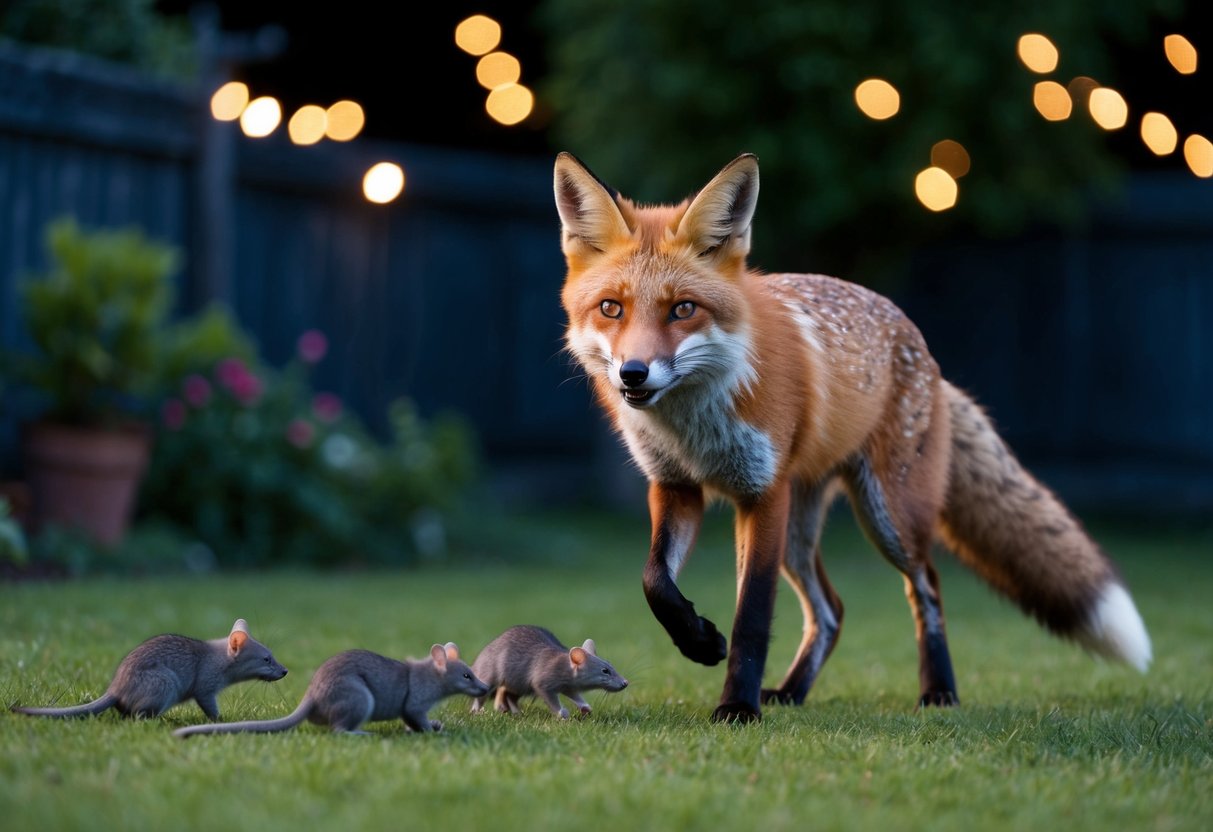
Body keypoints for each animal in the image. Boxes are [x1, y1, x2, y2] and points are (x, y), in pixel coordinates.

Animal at [553, 151, 1152, 723]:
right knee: (832, 611)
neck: (696, 426)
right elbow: (655, 581)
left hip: (888, 515)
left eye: (683, 309)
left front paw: (737, 707)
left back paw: (939, 691)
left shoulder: (762, 493)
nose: (633, 374)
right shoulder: (676, 487)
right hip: (801, 531)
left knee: (927, 586)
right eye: (611, 308)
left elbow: (752, 616)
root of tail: (928, 357)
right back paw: (791, 692)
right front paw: (699, 641)